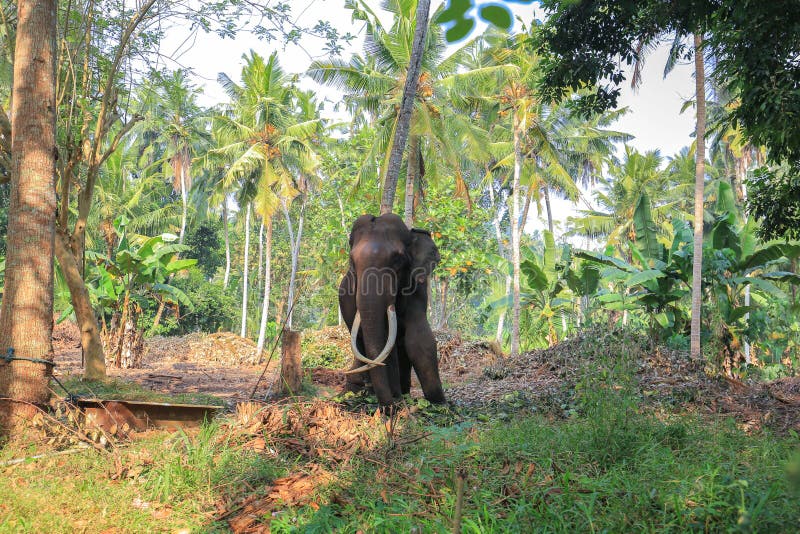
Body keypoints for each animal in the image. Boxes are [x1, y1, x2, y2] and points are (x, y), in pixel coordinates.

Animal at [338, 213, 445, 406]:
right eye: (352, 262)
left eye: (398, 260)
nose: (390, 405)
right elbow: (387, 341)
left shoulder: (417, 288)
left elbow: (419, 339)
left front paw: (440, 404)